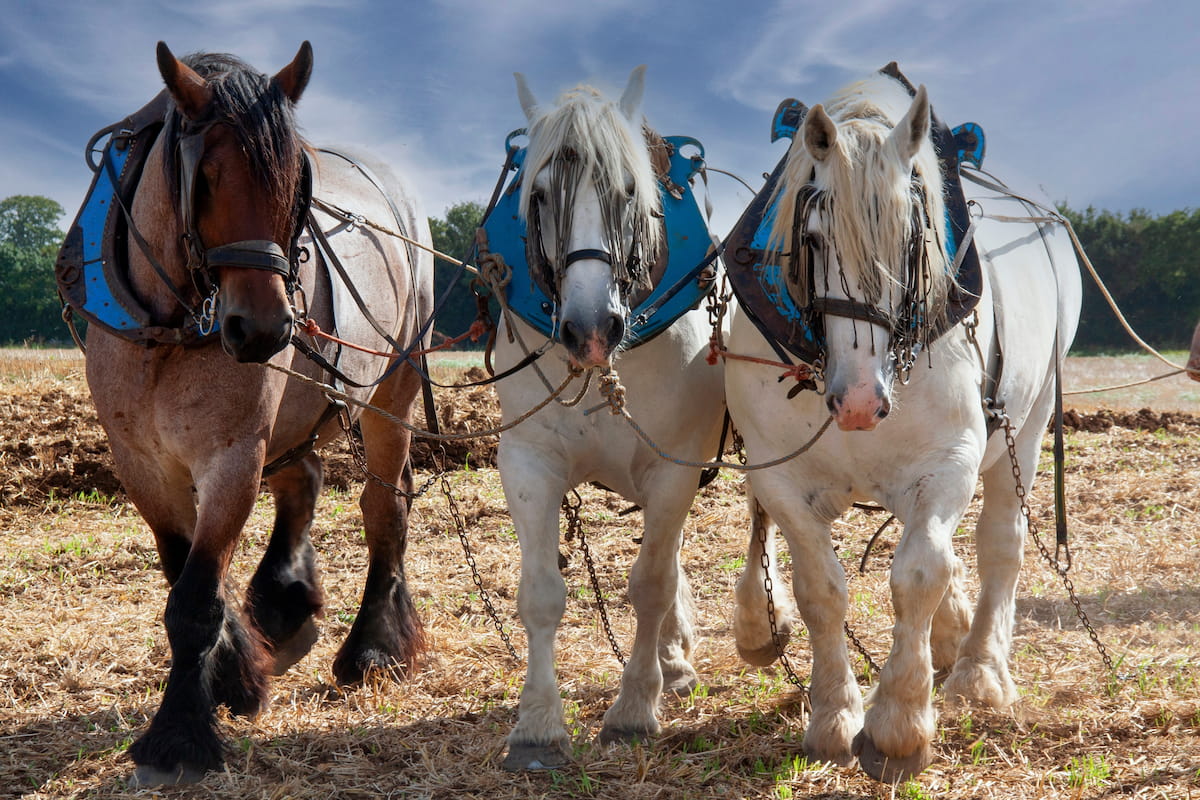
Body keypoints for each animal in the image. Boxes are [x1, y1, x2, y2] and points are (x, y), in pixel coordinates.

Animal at [70, 43, 433, 785]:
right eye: (205, 178)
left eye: (298, 182)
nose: (264, 327)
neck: (169, 326)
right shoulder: (140, 461)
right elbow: (182, 574)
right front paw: (236, 675)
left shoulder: (233, 455)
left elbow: (196, 598)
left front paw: (178, 736)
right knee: (306, 479)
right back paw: (286, 600)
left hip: (395, 388)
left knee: (385, 508)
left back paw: (373, 647)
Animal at [490, 67, 726, 770]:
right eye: (539, 194)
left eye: (628, 190)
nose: (591, 329)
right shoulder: (528, 462)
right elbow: (541, 591)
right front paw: (538, 725)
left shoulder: (676, 466)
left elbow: (649, 584)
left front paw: (633, 709)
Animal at [723, 69, 1082, 781]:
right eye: (813, 238)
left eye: (915, 238)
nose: (861, 400)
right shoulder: (780, 475)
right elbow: (821, 589)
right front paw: (833, 716)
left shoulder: (950, 462)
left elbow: (919, 574)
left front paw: (899, 724)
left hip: (1027, 428)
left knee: (1001, 543)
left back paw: (979, 670)